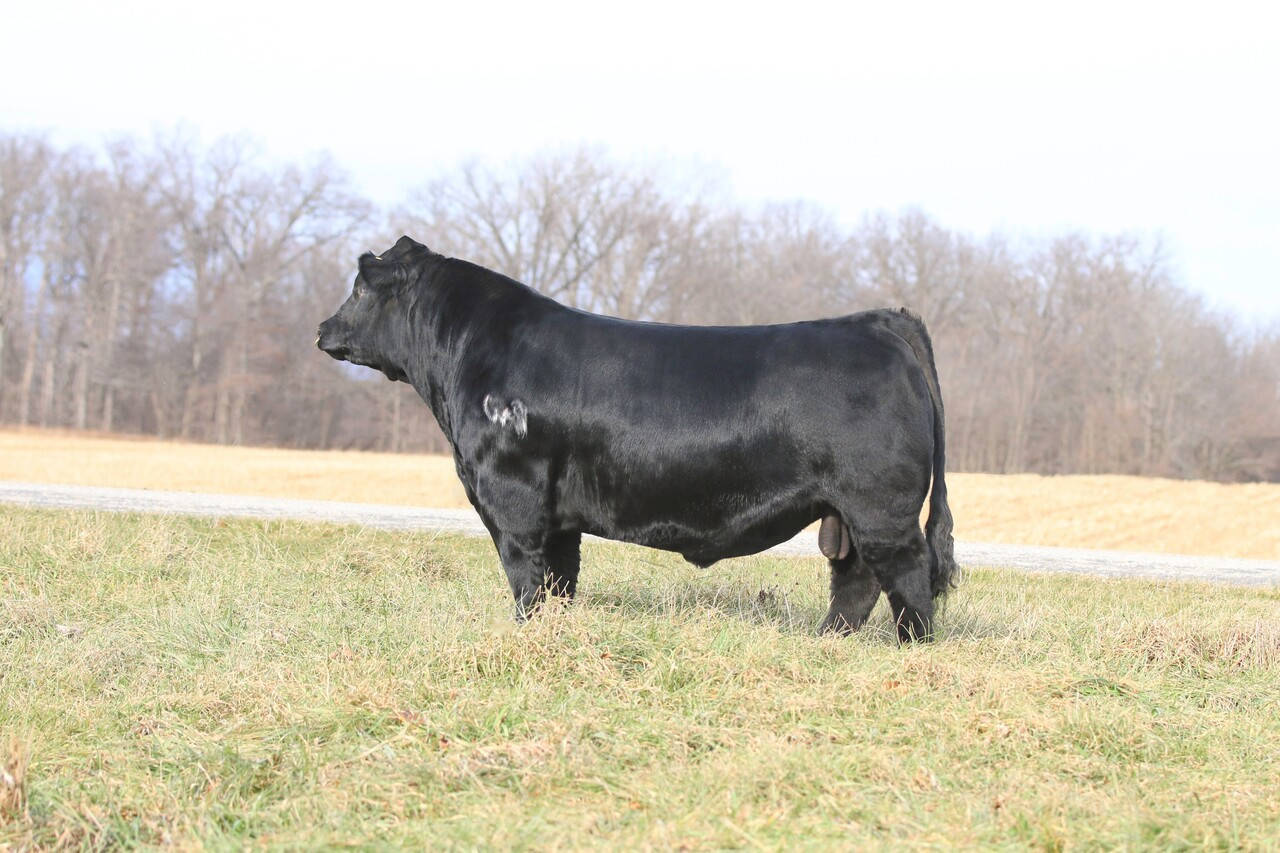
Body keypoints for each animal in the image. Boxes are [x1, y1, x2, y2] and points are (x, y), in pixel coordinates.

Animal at [317, 236, 957, 641]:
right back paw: (824, 644)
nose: (322, 329)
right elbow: (559, 582)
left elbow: (526, 580)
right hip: (846, 513)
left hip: (881, 506)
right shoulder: (559, 518)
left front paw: (524, 636)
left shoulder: (513, 499)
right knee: (854, 582)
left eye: (359, 289)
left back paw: (911, 650)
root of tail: (878, 320)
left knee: (906, 577)